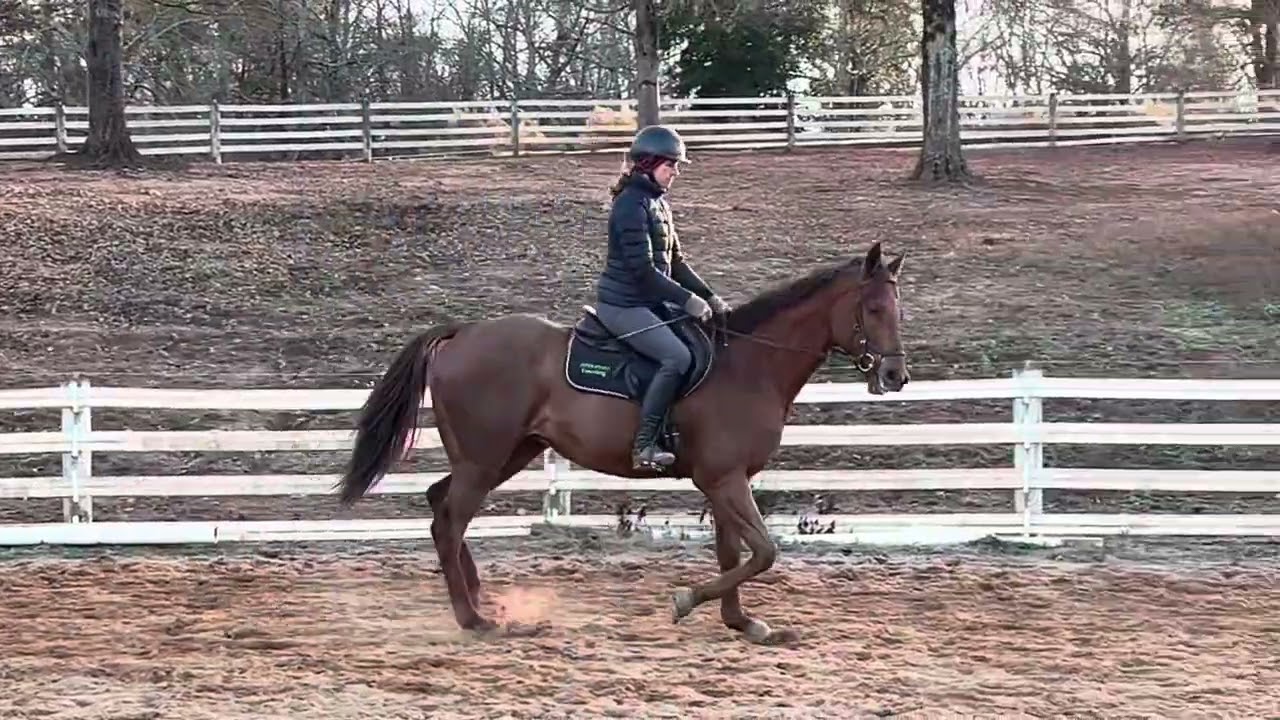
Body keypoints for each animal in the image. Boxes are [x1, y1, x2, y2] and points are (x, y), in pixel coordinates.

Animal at [337, 241, 909, 645]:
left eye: (896, 307)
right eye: (874, 308)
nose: (895, 375)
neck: (748, 365)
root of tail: (463, 333)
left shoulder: (724, 481)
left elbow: (732, 554)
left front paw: (740, 622)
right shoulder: (724, 480)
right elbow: (764, 552)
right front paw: (687, 600)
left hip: (506, 454)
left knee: (441, 504)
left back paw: (481, 599)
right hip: (484, 459)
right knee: (449, 520)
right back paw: (474, 619)